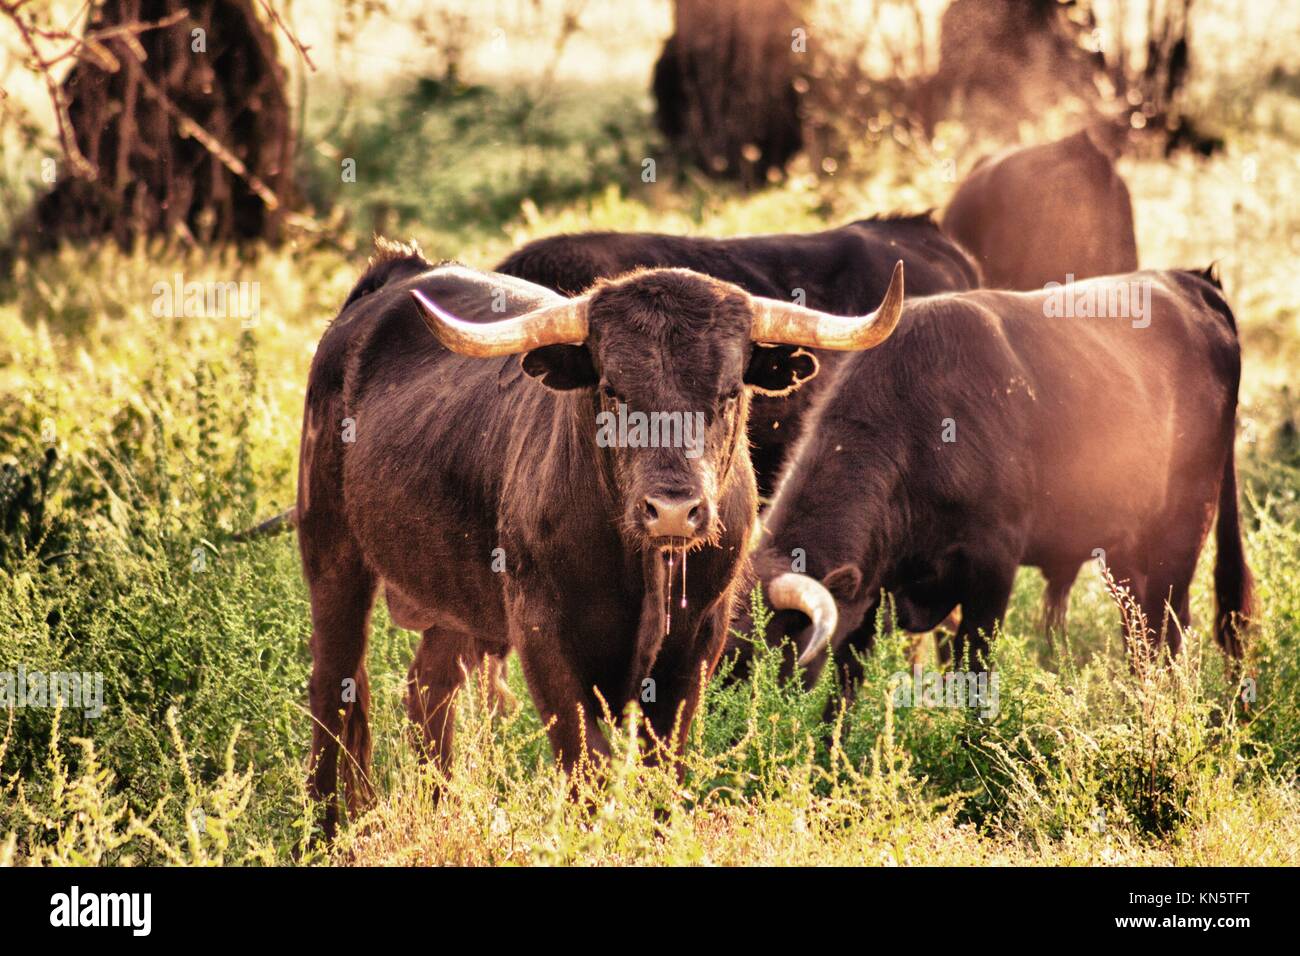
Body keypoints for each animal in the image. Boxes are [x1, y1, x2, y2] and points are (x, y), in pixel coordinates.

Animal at [295, 240, 906, 835]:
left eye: (730, 393)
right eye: (613, 390)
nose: (672, 511)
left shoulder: (698, 640)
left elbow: (664, 765)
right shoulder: (543, 634)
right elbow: (586, 765)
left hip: (458, 602)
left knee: (428, 688)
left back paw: (441, 808)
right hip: (331, 553)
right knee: (334, 684)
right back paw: (325, 827)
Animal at [736, 267, 1251, 689]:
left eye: (764, 662)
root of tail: (1191, 283)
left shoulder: (992, 572)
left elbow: (975, 675)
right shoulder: (869, 600)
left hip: (1182, 536)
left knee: (1169, 632)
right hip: (1124, 553)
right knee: (1138, 634)